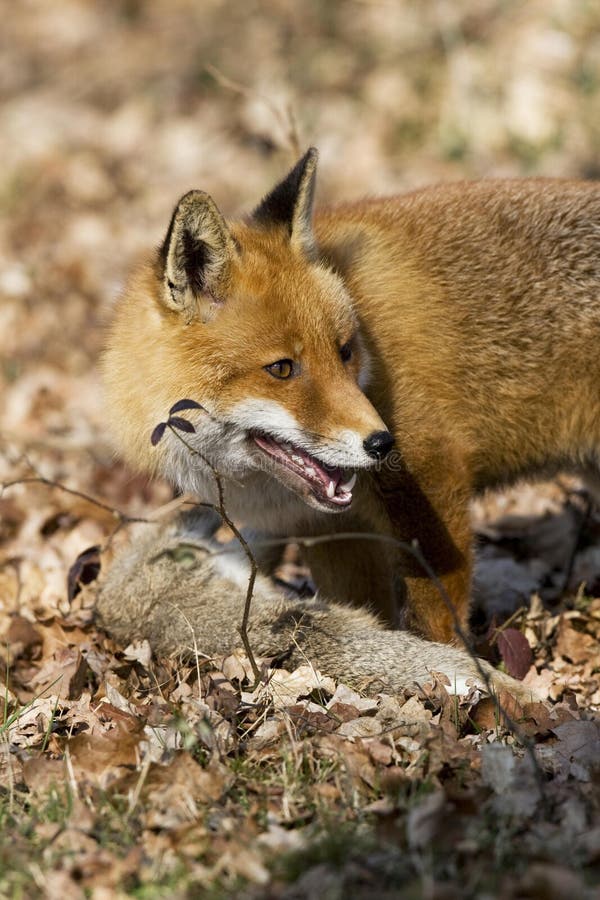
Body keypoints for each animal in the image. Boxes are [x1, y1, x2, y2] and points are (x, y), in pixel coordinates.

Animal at [103, 148, 600, 645]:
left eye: (344, 351)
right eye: (282, 368)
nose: (383, 443)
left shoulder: (434, 483)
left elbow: (437, 622)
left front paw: (451, 664)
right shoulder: (334, 527)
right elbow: (369, 611)